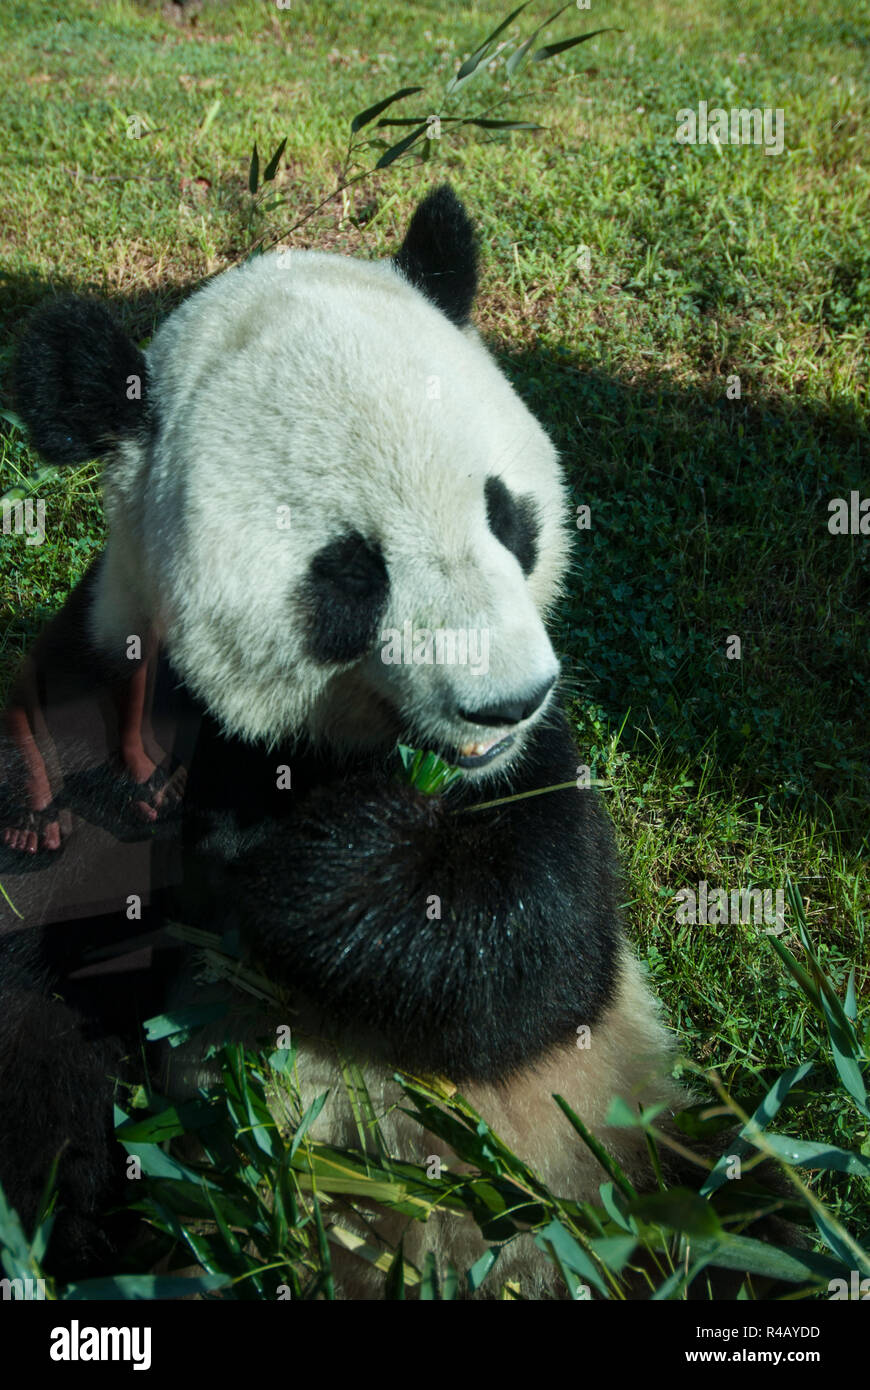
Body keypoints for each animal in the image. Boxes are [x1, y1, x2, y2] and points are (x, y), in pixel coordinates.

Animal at [1, 186, 688, 1297]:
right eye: (353, 571)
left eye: (507, 514)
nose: (505, 700)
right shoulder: (83, 726)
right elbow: (34, 1004)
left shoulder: (530, 773)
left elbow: (535, 951)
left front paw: (304, 865)